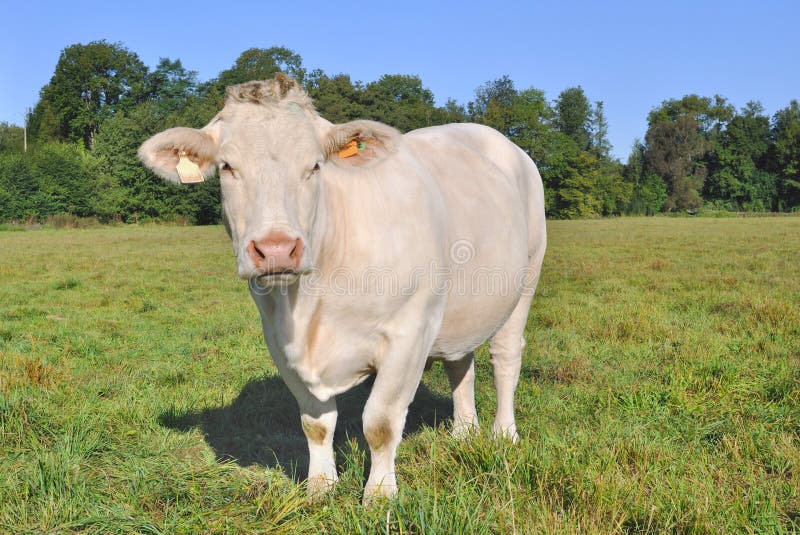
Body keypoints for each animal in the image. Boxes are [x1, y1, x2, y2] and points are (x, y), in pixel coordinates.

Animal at [139, 74, 546, 503]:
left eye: (315, 166)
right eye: (228, 166)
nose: (277, 249)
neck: (309, 305)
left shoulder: (410, 331)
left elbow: (381, 422)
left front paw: (379, 495)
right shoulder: (278, 340)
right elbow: (316, 422)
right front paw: (320, 488)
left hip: (527, 276)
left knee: (505, 358)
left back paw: (504, 435)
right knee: (460, 363)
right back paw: (465, 433)